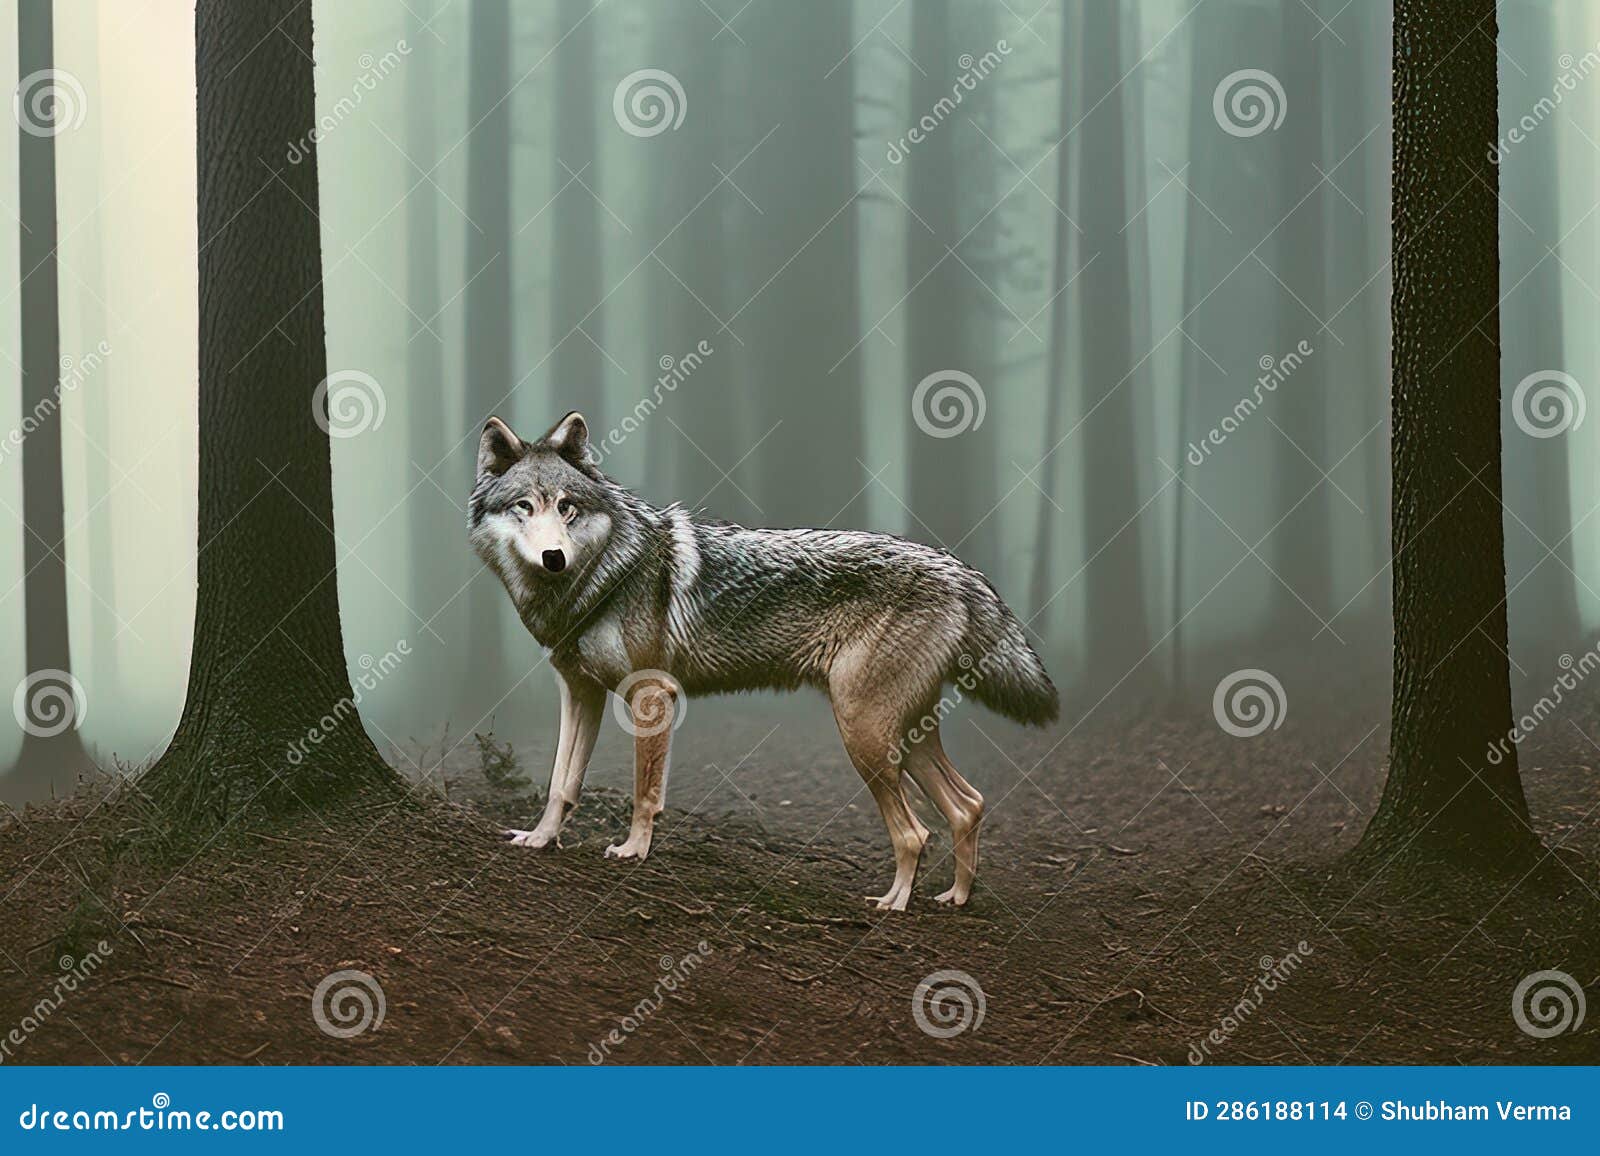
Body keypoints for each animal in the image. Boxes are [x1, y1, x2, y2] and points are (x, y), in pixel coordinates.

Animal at [469, 412, 1059, 910]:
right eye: (525, 506)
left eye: (567, 505)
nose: (554, 557)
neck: (602, 575)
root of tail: (959, 568)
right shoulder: (580, 692)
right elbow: (560, 783)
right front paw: (540, 838)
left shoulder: (652, 696)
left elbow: (644, 792)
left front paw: (634, 851)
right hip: (903, 739)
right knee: (968, 804)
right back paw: (955, 899)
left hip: (864, 735)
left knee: (916, 831)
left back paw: (894, 903)